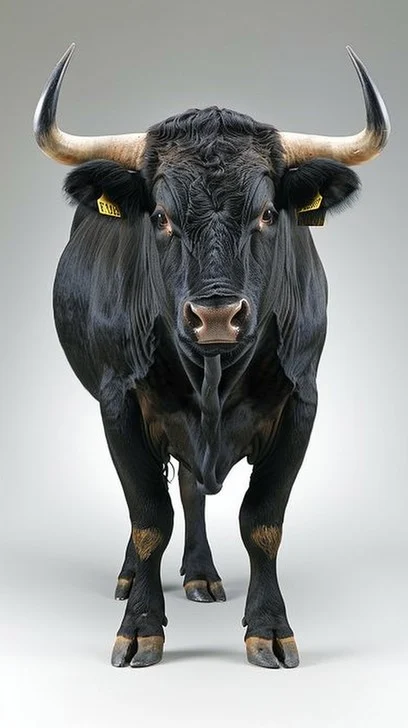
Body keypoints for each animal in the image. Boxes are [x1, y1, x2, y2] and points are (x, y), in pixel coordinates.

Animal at [34, 45, 389, 669]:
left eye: (268, 213)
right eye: (161, 216)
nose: (217, 315)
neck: (215, 381)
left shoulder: (302, 400)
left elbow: (262, 520)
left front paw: (269, 628)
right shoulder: (118, 402)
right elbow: (149, 515)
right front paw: (140, 627)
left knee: (192, 488)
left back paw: (201, 574)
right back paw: (132, 576)